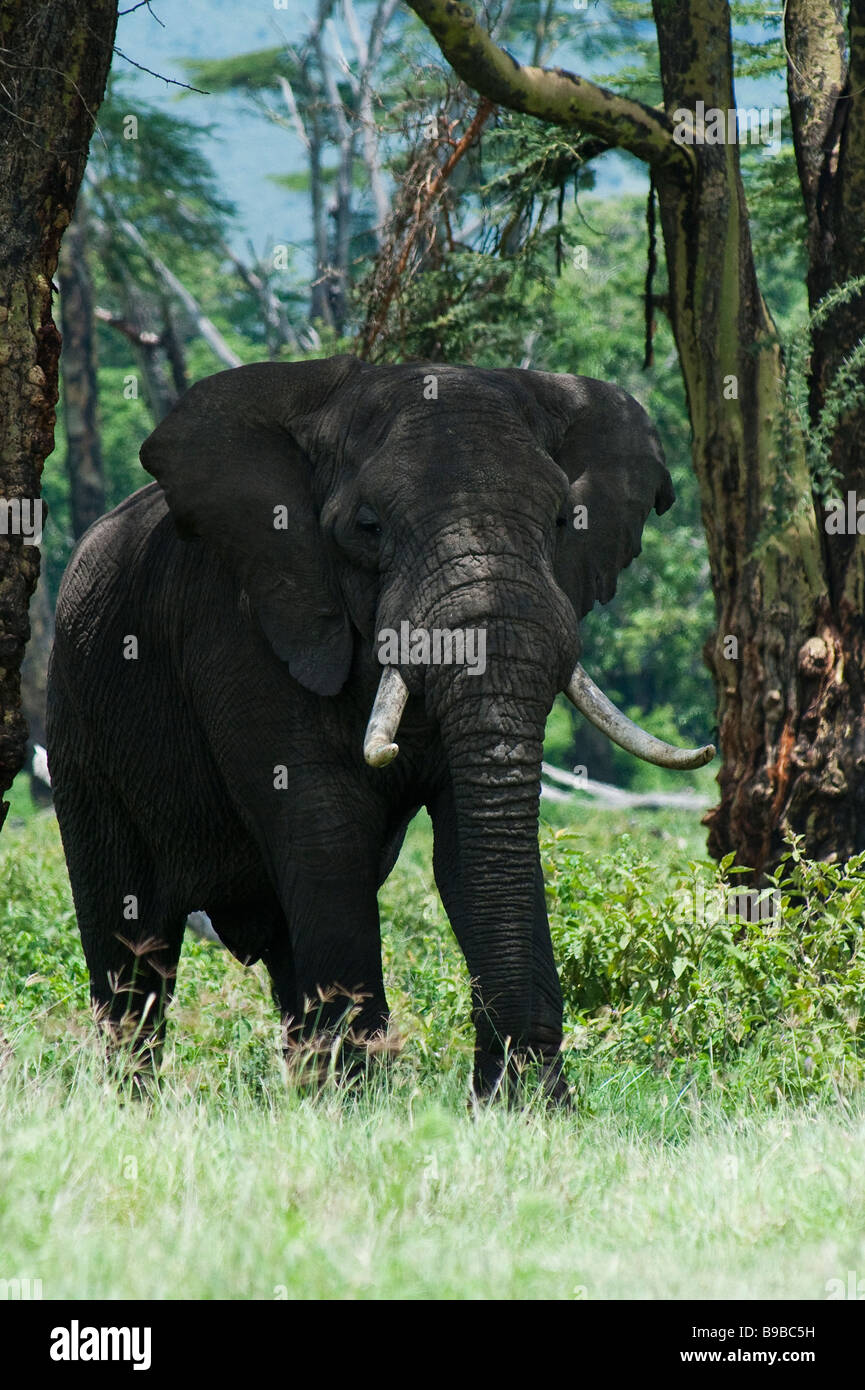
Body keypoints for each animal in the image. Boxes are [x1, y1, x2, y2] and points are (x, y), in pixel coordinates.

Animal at [46, 355, 713, 1101]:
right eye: (367, 525)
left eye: (563, 518)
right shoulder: (244, 623)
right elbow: (324, 829)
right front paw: (369, 1107)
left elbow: (464, 847)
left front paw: (524, 1107)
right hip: (77, 716)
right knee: (131, 945)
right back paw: (136, 1099)